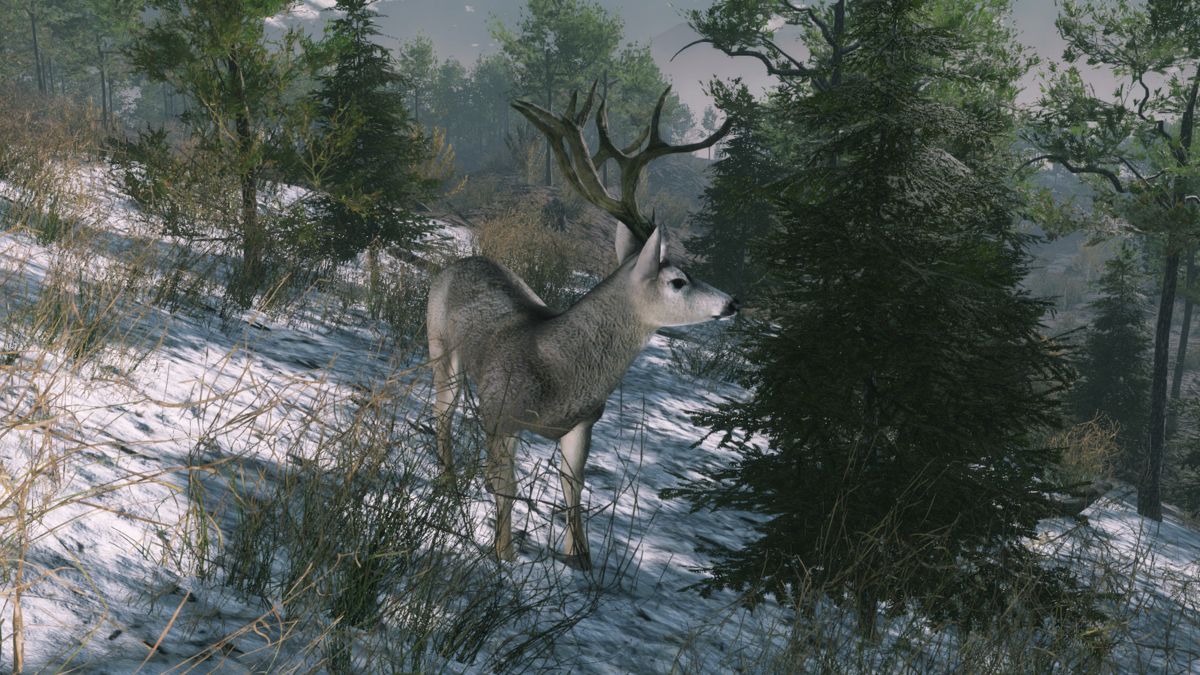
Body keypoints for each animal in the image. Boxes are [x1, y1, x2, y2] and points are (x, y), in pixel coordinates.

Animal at [426, 84, 737, 570]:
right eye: (678, 280)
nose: (732, 302)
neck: (561, 373)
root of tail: (461, 260)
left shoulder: (583, 424)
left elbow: (574, 487)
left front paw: (582, 560)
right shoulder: (501, 410)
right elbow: (507, 486)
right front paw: (504, 554)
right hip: (440, 347)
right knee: (443, 412)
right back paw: (449, 481)